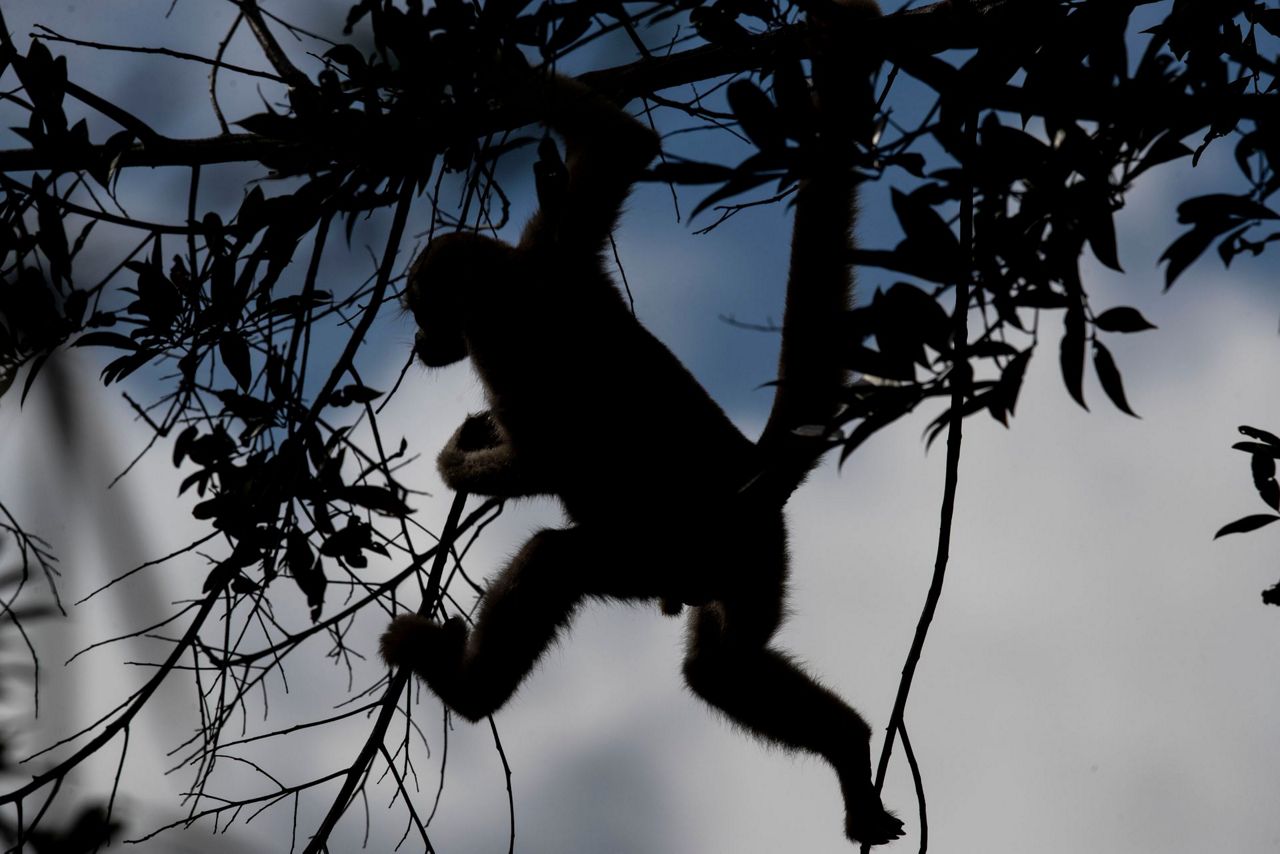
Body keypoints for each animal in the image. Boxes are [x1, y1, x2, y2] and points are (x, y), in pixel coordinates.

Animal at [381, 2, 903, 845]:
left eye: (426, 312)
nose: (424, 344)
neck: (511, 279)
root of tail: (750, 473)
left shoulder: (499, 325)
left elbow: (547, 454)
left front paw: (460, 459)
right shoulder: (553, 242)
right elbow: (625, 144)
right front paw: (470, 49)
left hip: (666, 548)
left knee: (557, 560)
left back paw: (466, 691)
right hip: (747, 561)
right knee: (720, 668)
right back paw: (851, 748)